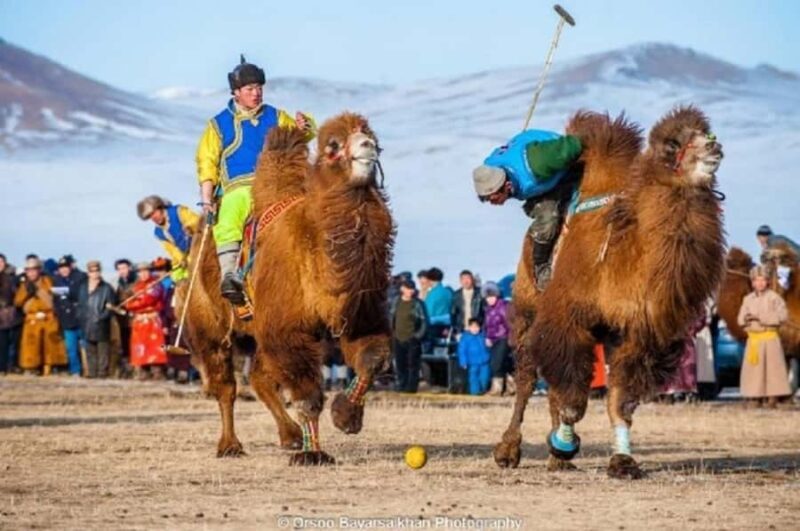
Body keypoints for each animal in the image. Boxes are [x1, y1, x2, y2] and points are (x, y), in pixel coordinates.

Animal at [248, 112, 394, 465]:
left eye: (370, 135)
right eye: (333, 146)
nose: (367, 146)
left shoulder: (362, 313)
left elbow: (372, 359)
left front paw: (346, 417)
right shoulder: (285, 331)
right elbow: (308, 396)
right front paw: (312, 453)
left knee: (259, 377)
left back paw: (288, 437)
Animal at [494, 106, 726, 479]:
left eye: (706, 131)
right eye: (672, 145)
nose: (713, 145)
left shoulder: (634, 334)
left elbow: (621, 402)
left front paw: (622, 461)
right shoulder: (568, 318)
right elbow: (574, 401)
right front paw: (564, 444)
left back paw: (557, 461)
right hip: (527, 307)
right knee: (528, 375)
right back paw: (508, 451)